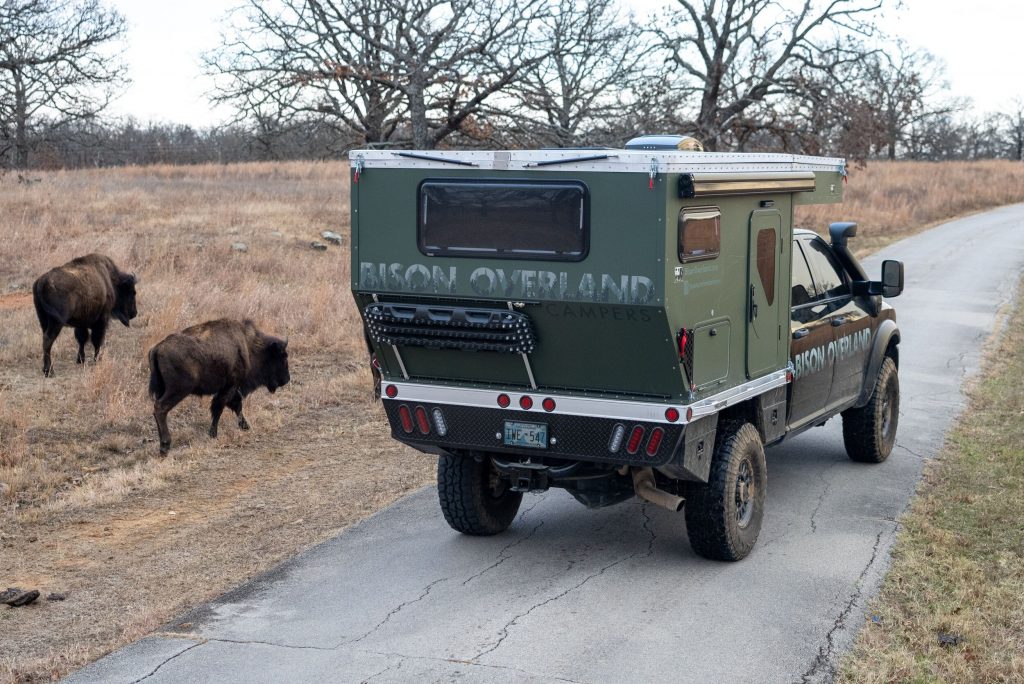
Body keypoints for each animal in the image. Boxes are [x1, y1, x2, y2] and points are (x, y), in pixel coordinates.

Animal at [148, 318, 290, 455]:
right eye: (282, 356)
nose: (286, 379)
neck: (249, 345)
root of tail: (157, 348)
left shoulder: (230, 389)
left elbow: (235, 406)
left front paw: (245, 426)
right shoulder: (230, 387)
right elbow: (220, 408)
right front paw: (213, 434)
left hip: (163, 390)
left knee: (157, 410)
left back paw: (162, 444)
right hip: (178, 390)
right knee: (161, 408)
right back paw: (165, 446)